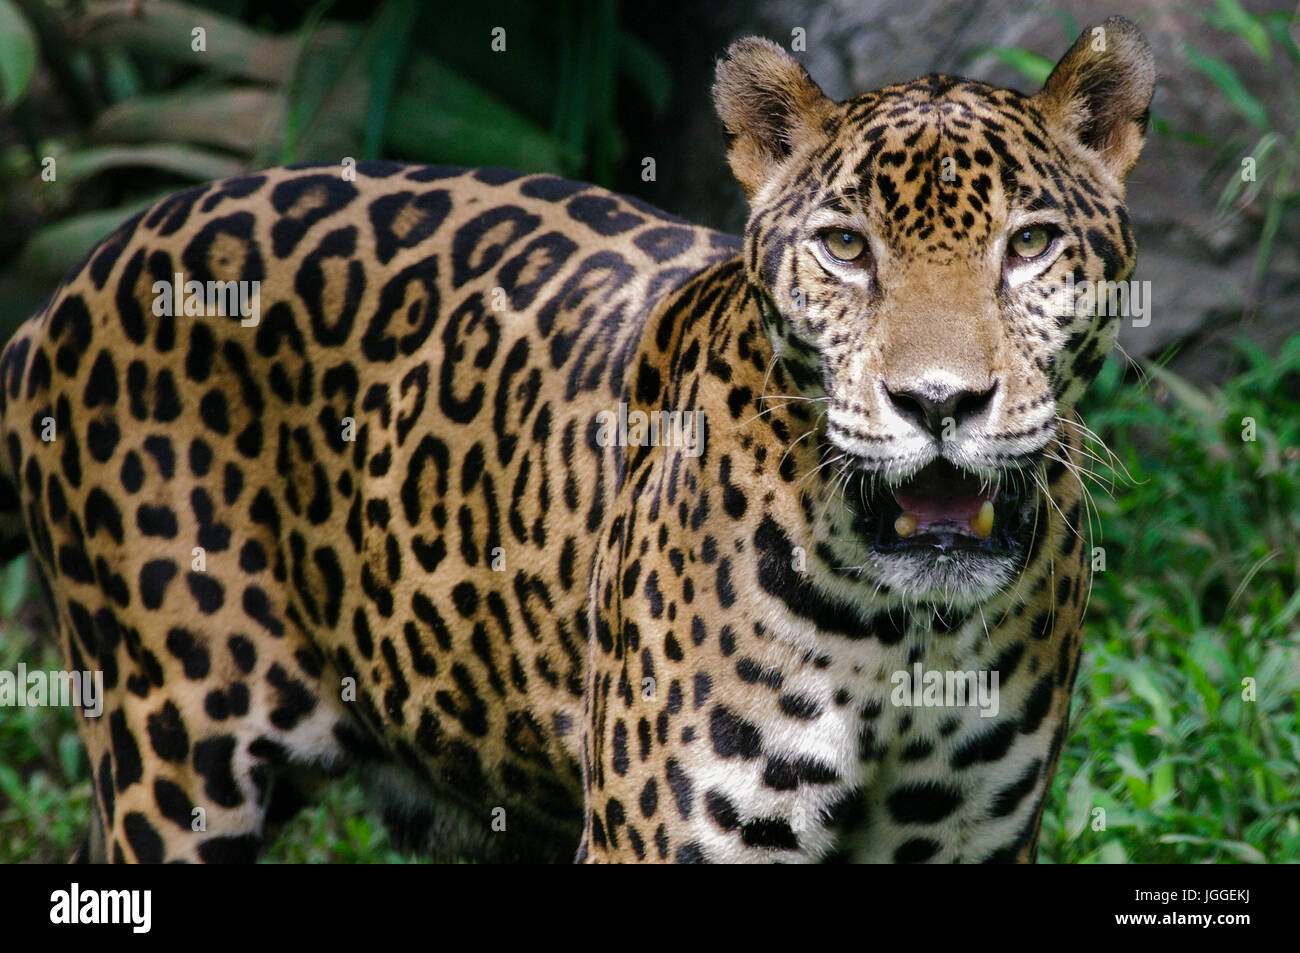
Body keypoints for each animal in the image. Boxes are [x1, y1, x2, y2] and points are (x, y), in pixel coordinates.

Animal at [0, 17, 1153, 863]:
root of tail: (64, 291)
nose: (939, 402)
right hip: (173, 758)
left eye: (1030, 244)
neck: (903, 632)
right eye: (843, 247)